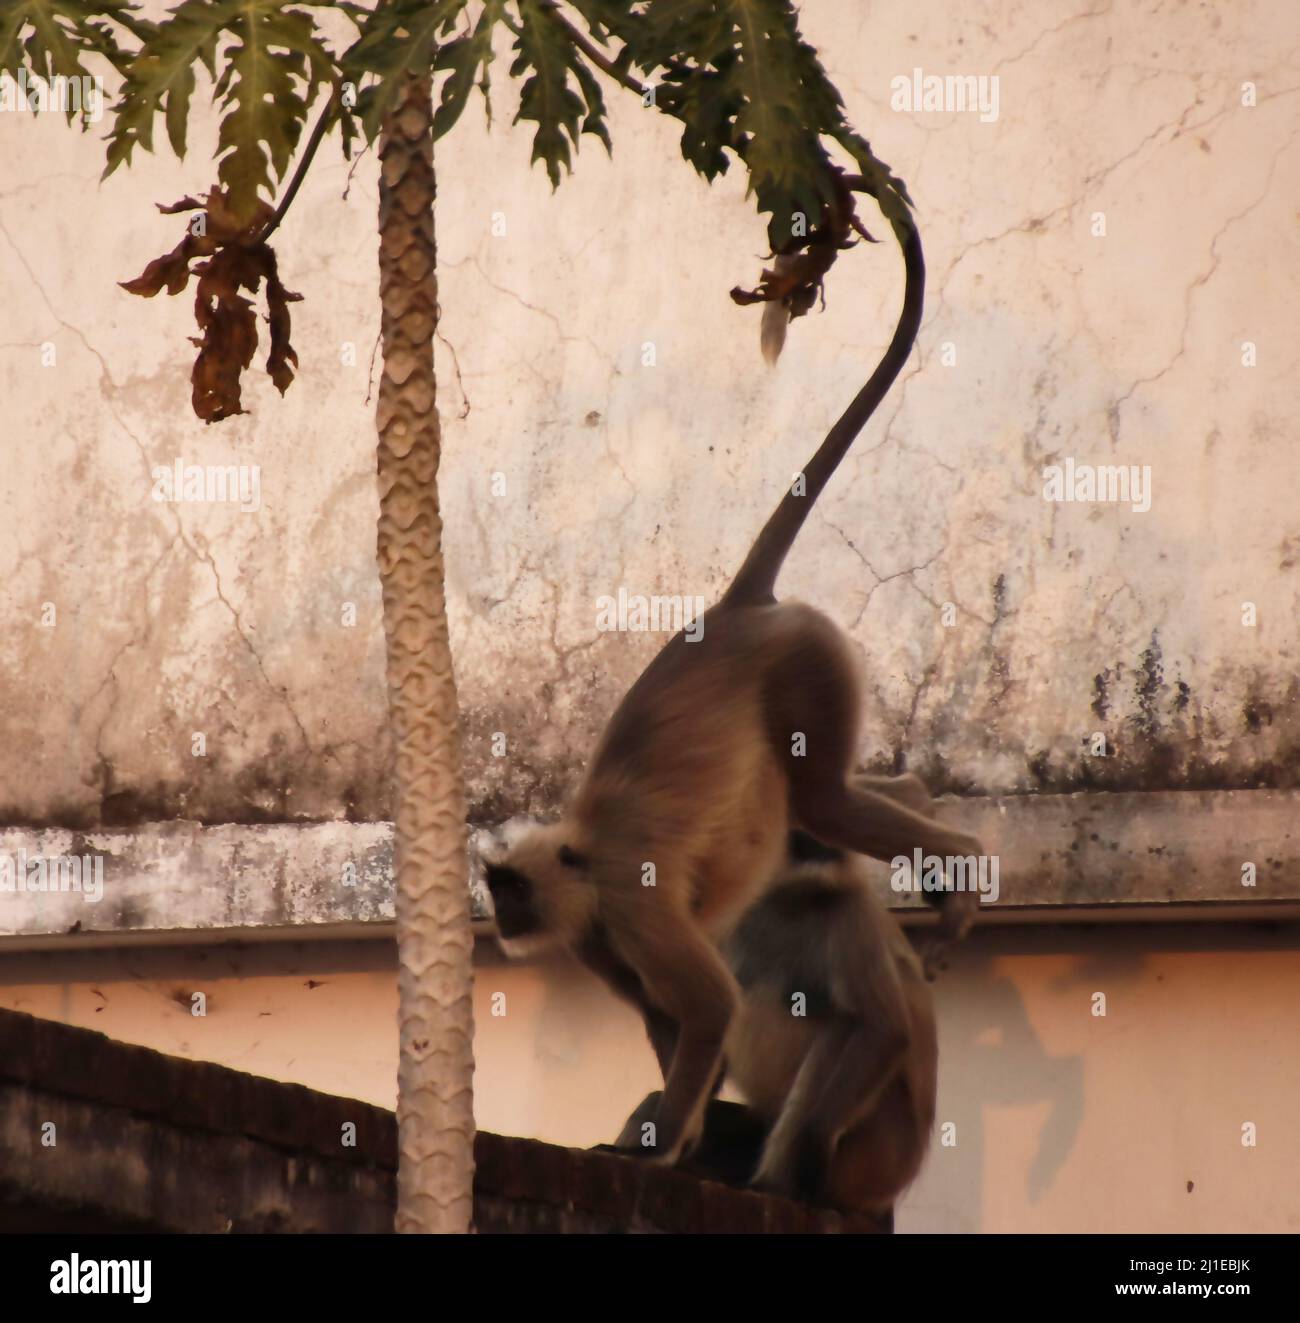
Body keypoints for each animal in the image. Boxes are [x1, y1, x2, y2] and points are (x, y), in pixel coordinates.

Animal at [484, 171, 983, 1167]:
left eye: (510, 888)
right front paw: (666, 1132)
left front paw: (656, 1148)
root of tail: (736, 607)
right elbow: (673, 1023)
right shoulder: (596, 934)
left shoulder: (625, 900)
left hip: (805, 661)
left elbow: (709, 1006)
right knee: (828, 800)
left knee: (824, 801)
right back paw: (923, 807)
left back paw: (962, 864)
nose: (501, 919)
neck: (579, 849)